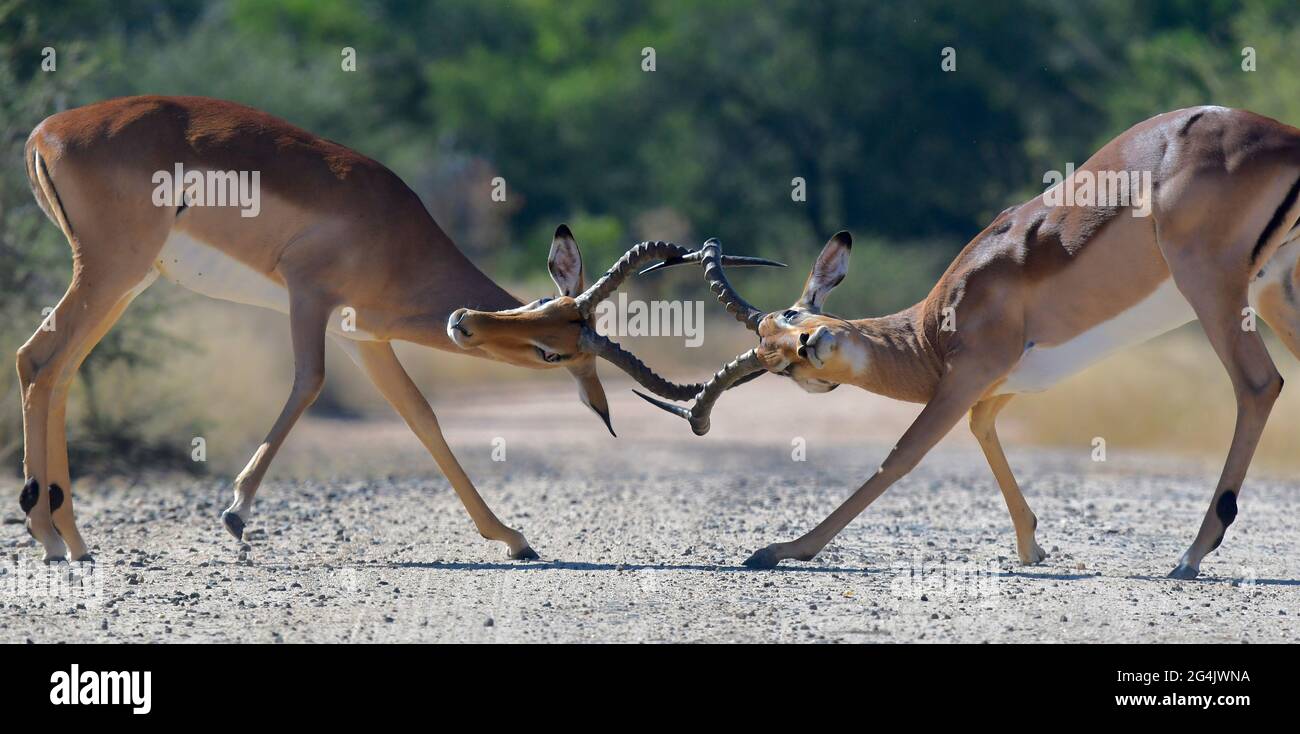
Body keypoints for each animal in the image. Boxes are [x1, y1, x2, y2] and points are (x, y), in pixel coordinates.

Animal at [15, 95, 779, 563]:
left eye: (549, 346)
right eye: (538, 314)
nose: (465, 321)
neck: (395, 237)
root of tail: (45, 130)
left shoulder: (364, 336)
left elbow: (422, 417)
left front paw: (513, 538)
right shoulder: (311, 297)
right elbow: (310, 383)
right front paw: (234, 514)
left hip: (127, 279)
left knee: (50, 367)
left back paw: (67, 539)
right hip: (113, 270)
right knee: (40, 361)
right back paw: (55, 538)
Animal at [639, 106, 1300, 579]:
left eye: (791, 313)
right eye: (774, 363)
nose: (810, 345)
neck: (930, 331)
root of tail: (1282, 138)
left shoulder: (970, 371)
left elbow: (900, 455)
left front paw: (779, 550)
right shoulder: (998, 385)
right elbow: (983, 432)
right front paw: (1032, 548)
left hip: (1211, 286)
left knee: (1258, 384)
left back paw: (1189, 556)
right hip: (1271, 290)